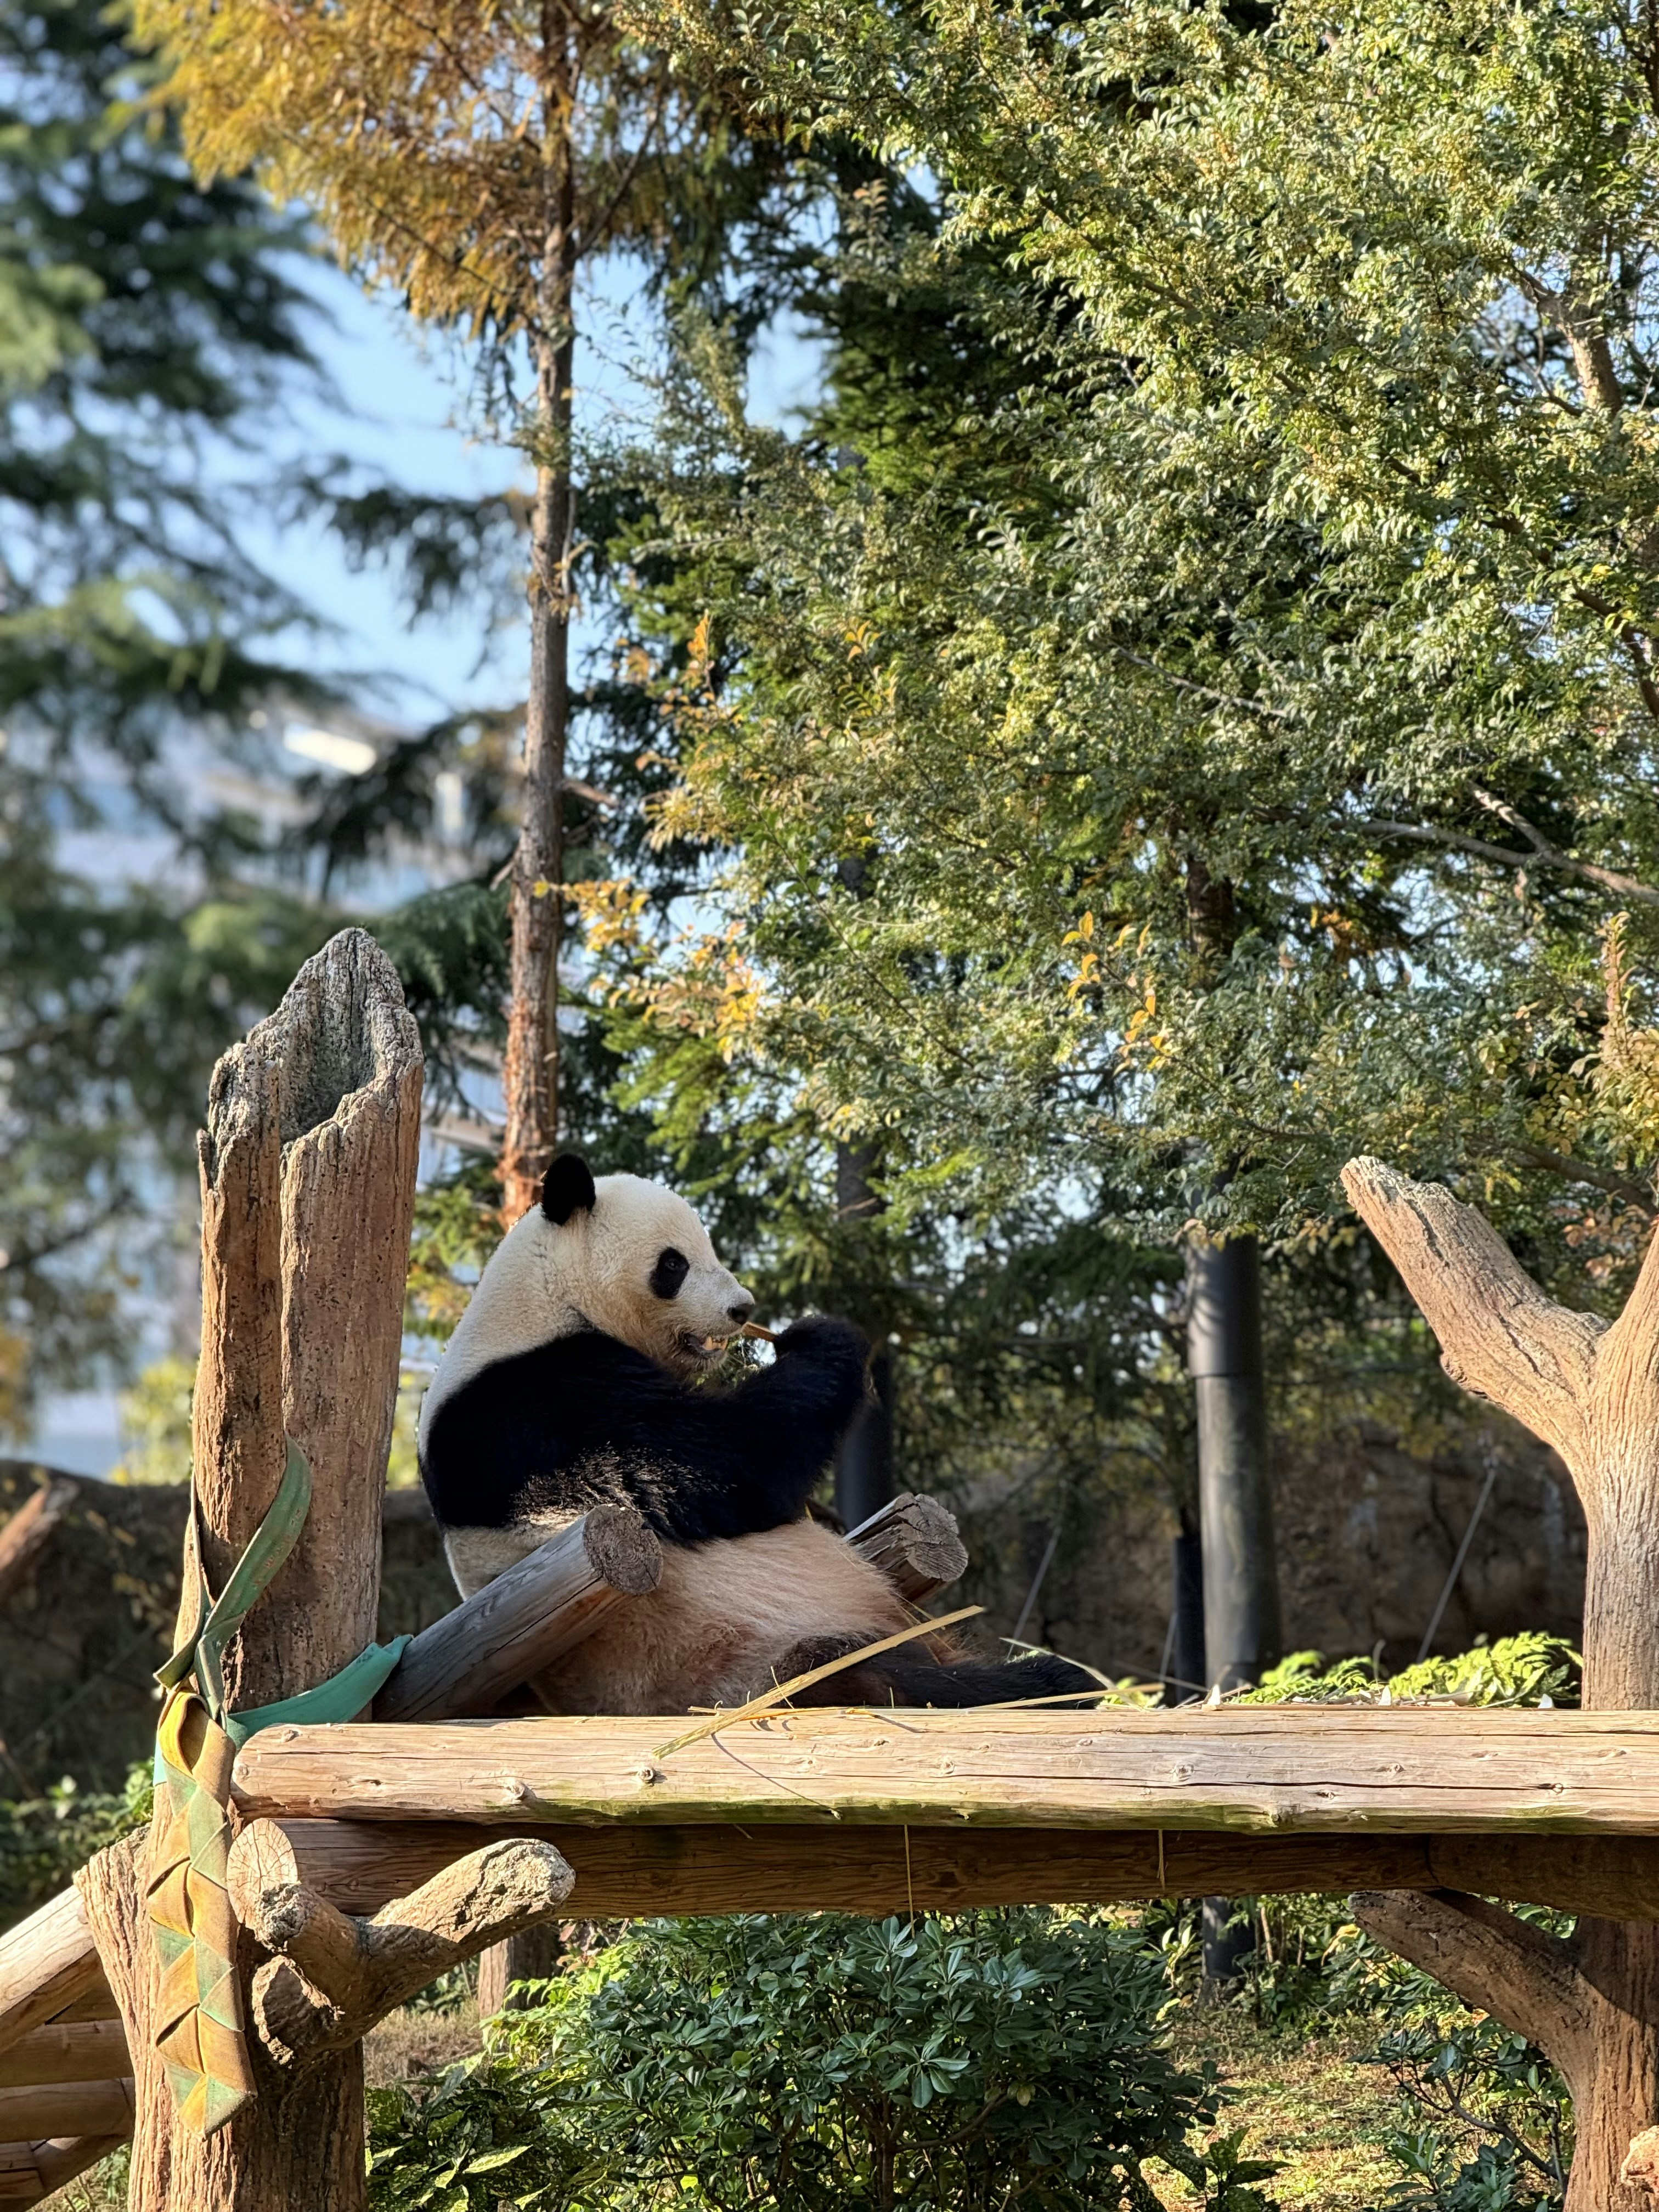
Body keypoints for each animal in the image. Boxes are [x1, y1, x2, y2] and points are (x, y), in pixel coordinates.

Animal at [416, 1152, 1097, 1713]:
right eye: (674, 1263)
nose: (743, 1309)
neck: (544, 1295)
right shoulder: (536, 1404)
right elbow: (720, 1462)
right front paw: (824, 1336)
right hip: (743, 1658)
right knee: (877, 1673)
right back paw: (1052, 1683)